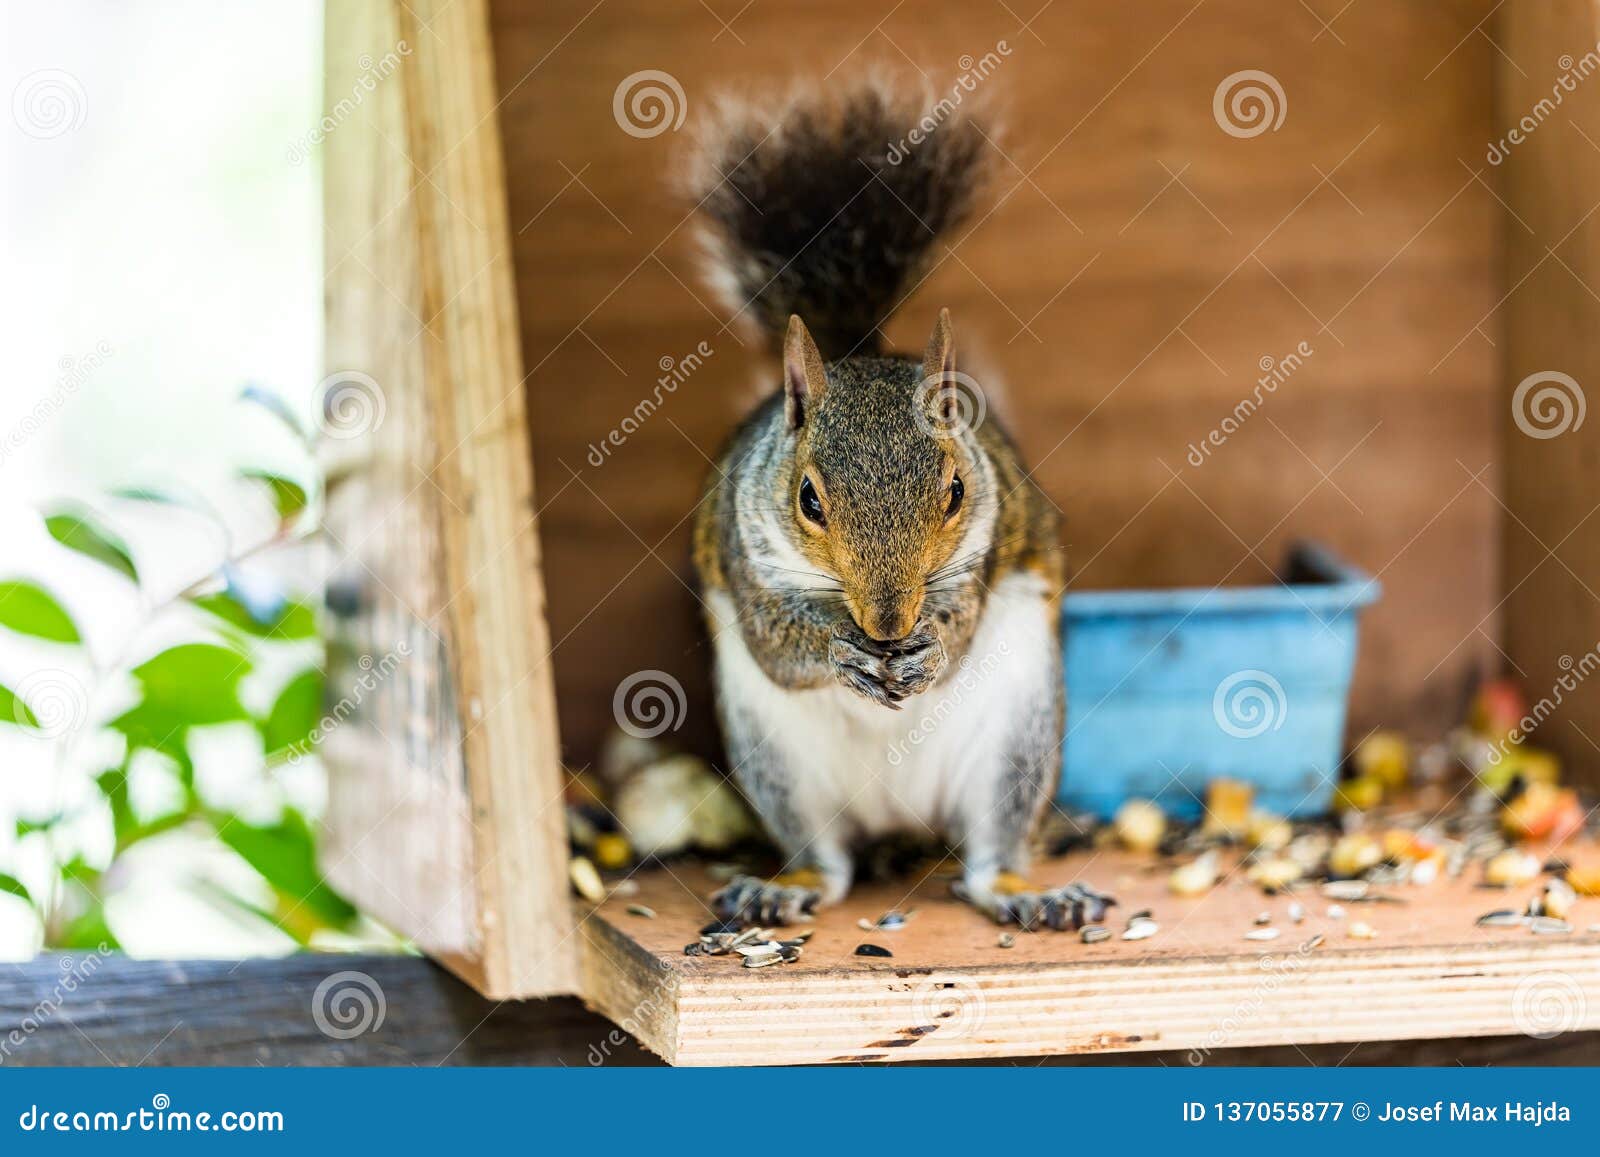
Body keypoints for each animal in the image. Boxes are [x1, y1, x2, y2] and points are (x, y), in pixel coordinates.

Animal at [686, 83, 1094, 932]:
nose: (887, 624)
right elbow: (777, 642)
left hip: (1016, 738)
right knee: (830, 863)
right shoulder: (744, 562)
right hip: (775, 758)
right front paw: (839, 651)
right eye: (808, 498)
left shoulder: (986, 550)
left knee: (986, 859)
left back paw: (1027, 892)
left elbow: (961, 627)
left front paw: (931, 649)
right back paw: (785, 885)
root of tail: (897, 813)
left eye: (956, 491)